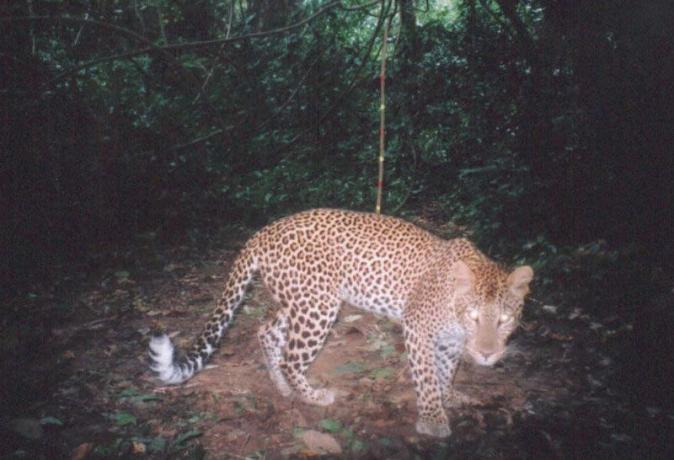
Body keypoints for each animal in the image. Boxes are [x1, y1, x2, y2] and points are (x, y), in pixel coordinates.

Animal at [150, 208, 532, 438]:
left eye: (504, 320)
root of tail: (263, 232)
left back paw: (283, 389)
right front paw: (432, 419)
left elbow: (446, 370)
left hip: (298, 302)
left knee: (266, 331)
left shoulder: (450, 341)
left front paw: (449, 397)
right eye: (474, 317)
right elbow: (426, 375)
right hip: (318, 306)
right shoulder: (417, 327)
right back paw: (313, 396)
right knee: (291, 358)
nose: (486, 355)